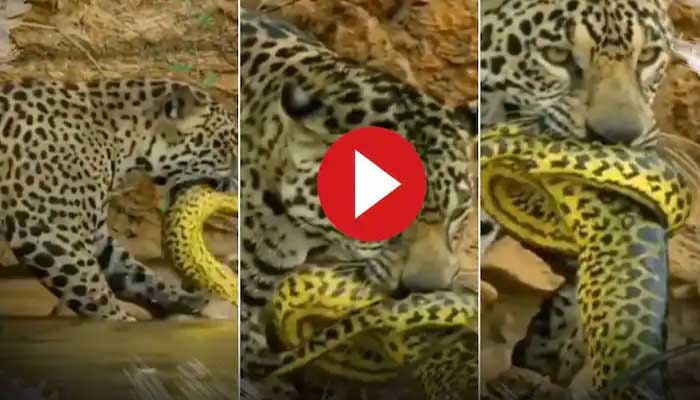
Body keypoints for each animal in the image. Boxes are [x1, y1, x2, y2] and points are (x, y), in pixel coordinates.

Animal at [0, 78, 236, 321]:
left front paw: (189, 301)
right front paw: (118, 318)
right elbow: (92, 290)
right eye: (227, 145)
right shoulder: (49, 232)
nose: (237, 184)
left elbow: (135, 274)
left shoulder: (97, 235)